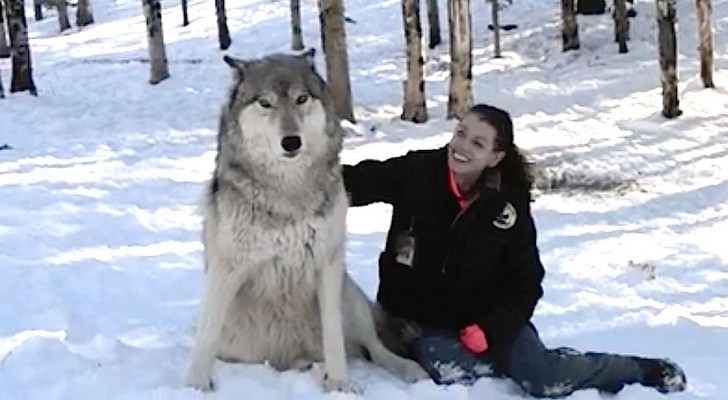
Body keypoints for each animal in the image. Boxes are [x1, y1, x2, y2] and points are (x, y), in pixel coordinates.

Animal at [184, 50, 428, 392]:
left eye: (301, 99)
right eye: (265, 103)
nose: (291, 142)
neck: (288, 192)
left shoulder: (327, 263)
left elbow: (334, 336)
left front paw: (339, 385)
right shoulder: (226, 268)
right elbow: (205, 340)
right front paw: (195, 386)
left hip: (349, 296)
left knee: (374, 348)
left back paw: (409, 369)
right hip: (236, 343)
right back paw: (304, 366)